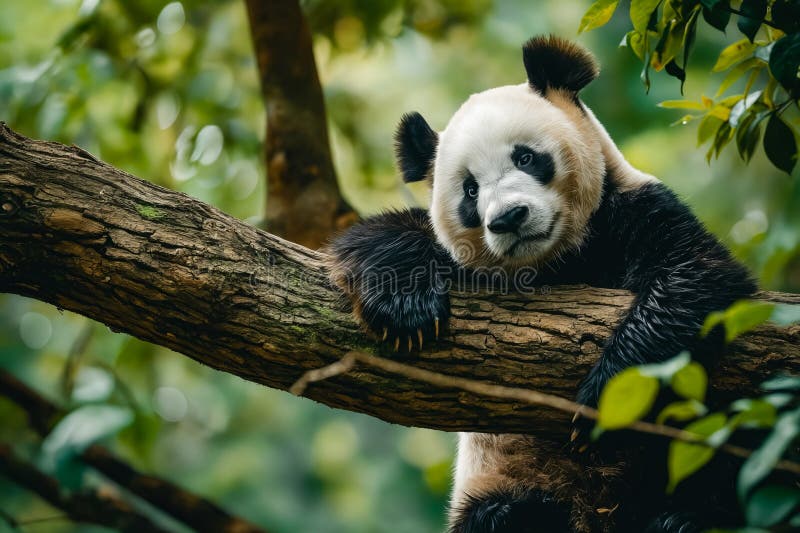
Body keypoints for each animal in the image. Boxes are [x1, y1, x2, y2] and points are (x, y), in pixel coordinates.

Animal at [328, 36, 757, 532]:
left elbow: (695, 274)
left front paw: (608, 403)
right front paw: (406, 312)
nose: (509, 218)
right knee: (500, 515)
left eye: (526, 157)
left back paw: (684, 517)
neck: (556, 262)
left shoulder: (634, 209)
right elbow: (379, 236)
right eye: (470, 190)